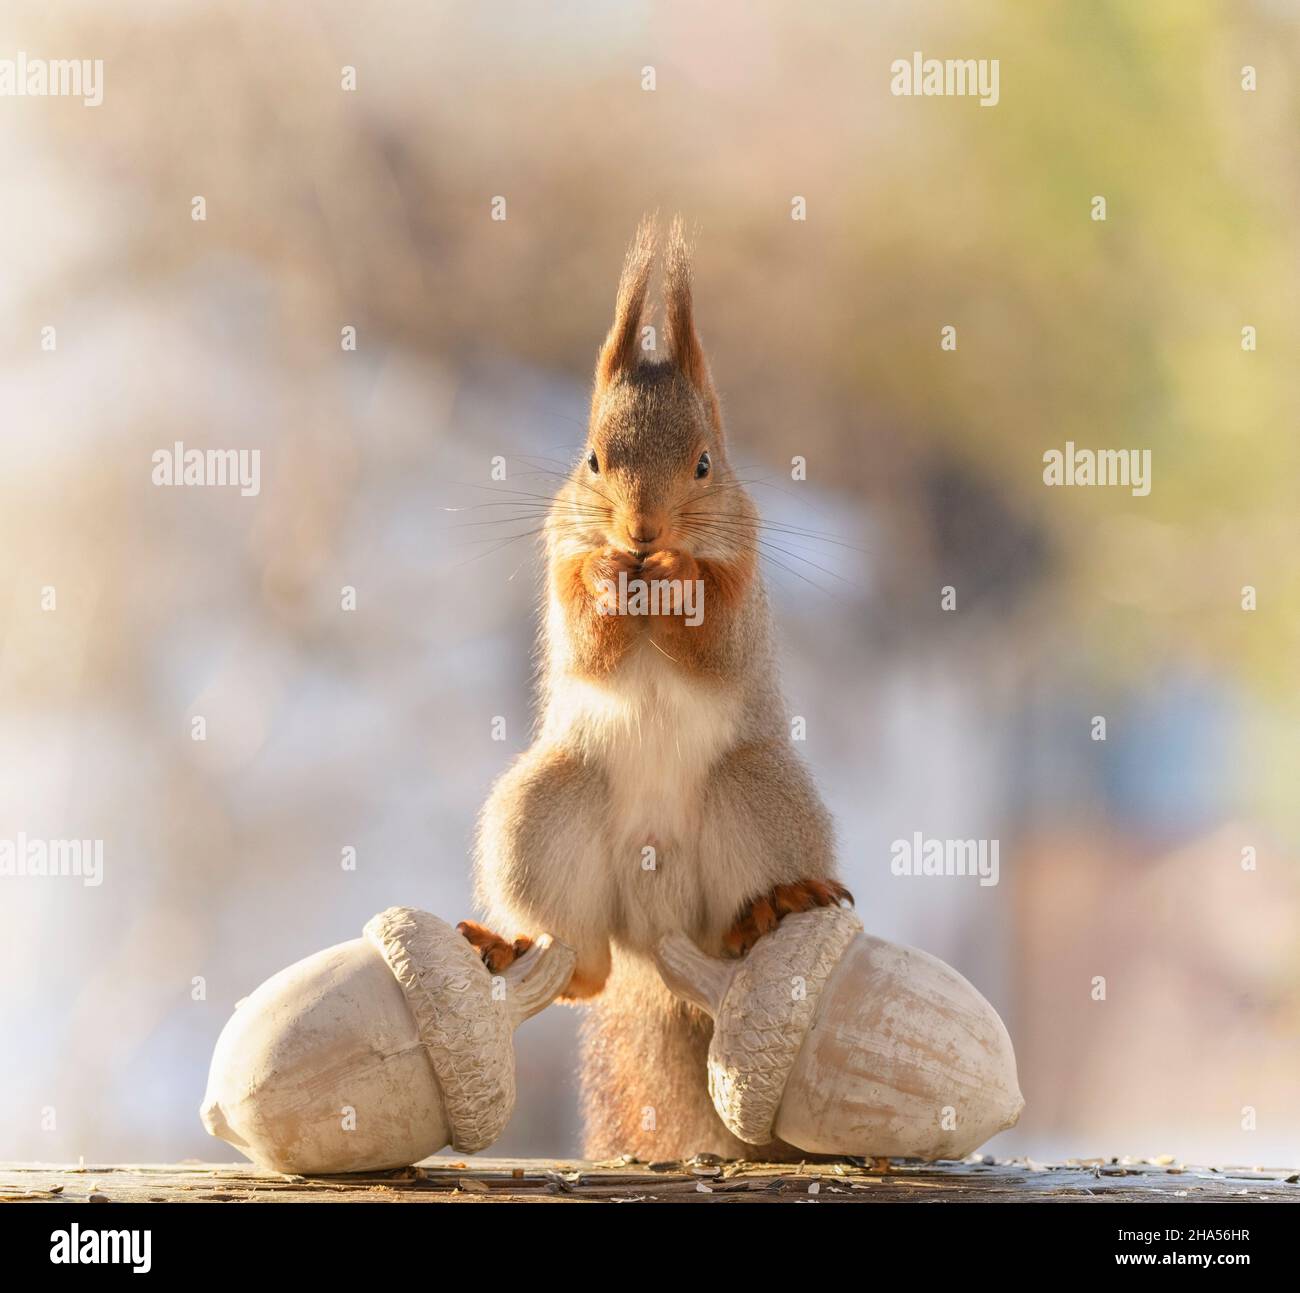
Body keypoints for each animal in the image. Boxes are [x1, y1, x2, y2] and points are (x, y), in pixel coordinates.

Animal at [459, 216, 852, 1161]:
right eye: (593, 459)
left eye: (707, 464)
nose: (641, 531)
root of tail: (651, 938)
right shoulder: (559, 564)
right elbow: (587, 638)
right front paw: (611, 577)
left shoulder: (742, 580)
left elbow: (714, 639)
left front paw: (675, 576)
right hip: (544, 813)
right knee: (583, 969)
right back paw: (521, 949)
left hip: (753, 794)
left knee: (726, 943)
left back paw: (768, 911)